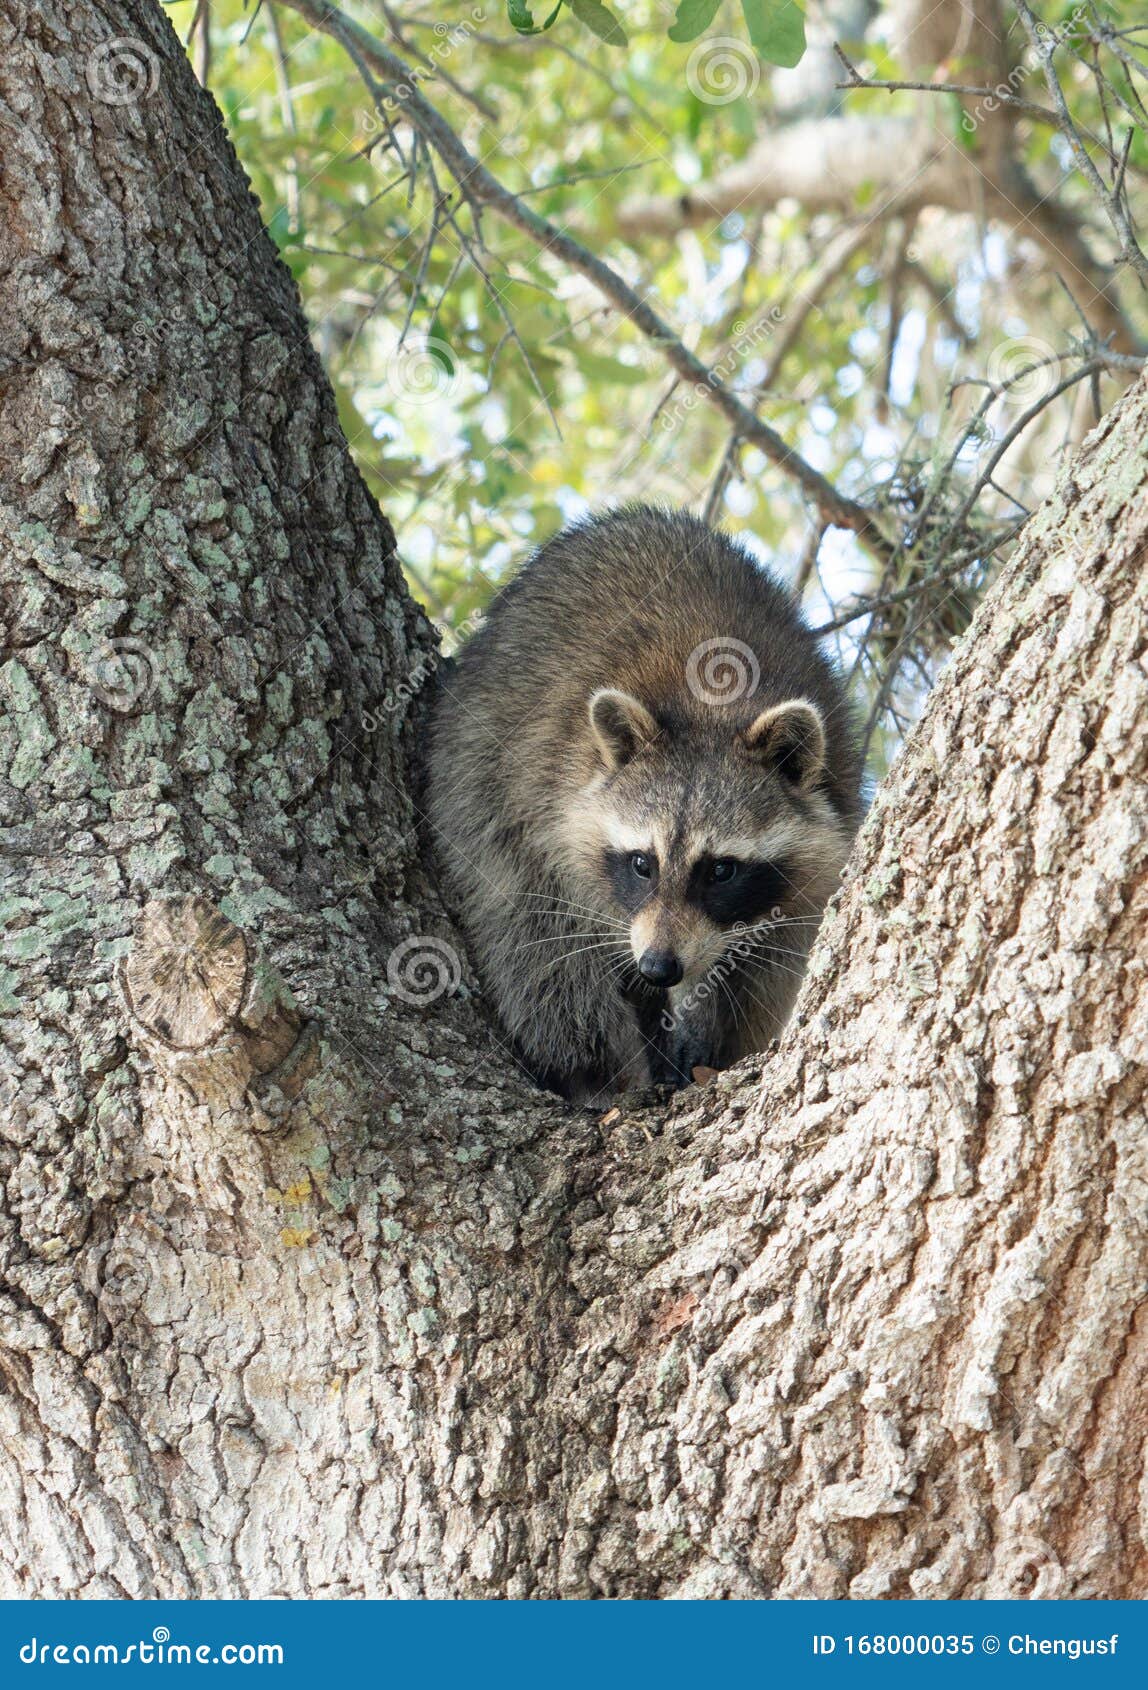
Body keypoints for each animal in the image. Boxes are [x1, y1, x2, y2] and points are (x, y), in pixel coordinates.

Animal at [427, 505, 863, 1105]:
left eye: (720, 870)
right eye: (642, 863)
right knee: (528, 934)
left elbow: (769, 963)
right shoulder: (542, 786)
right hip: (474, 773)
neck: (713, 708)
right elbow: (551, 948)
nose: (658, 967)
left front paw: (719, 1045)